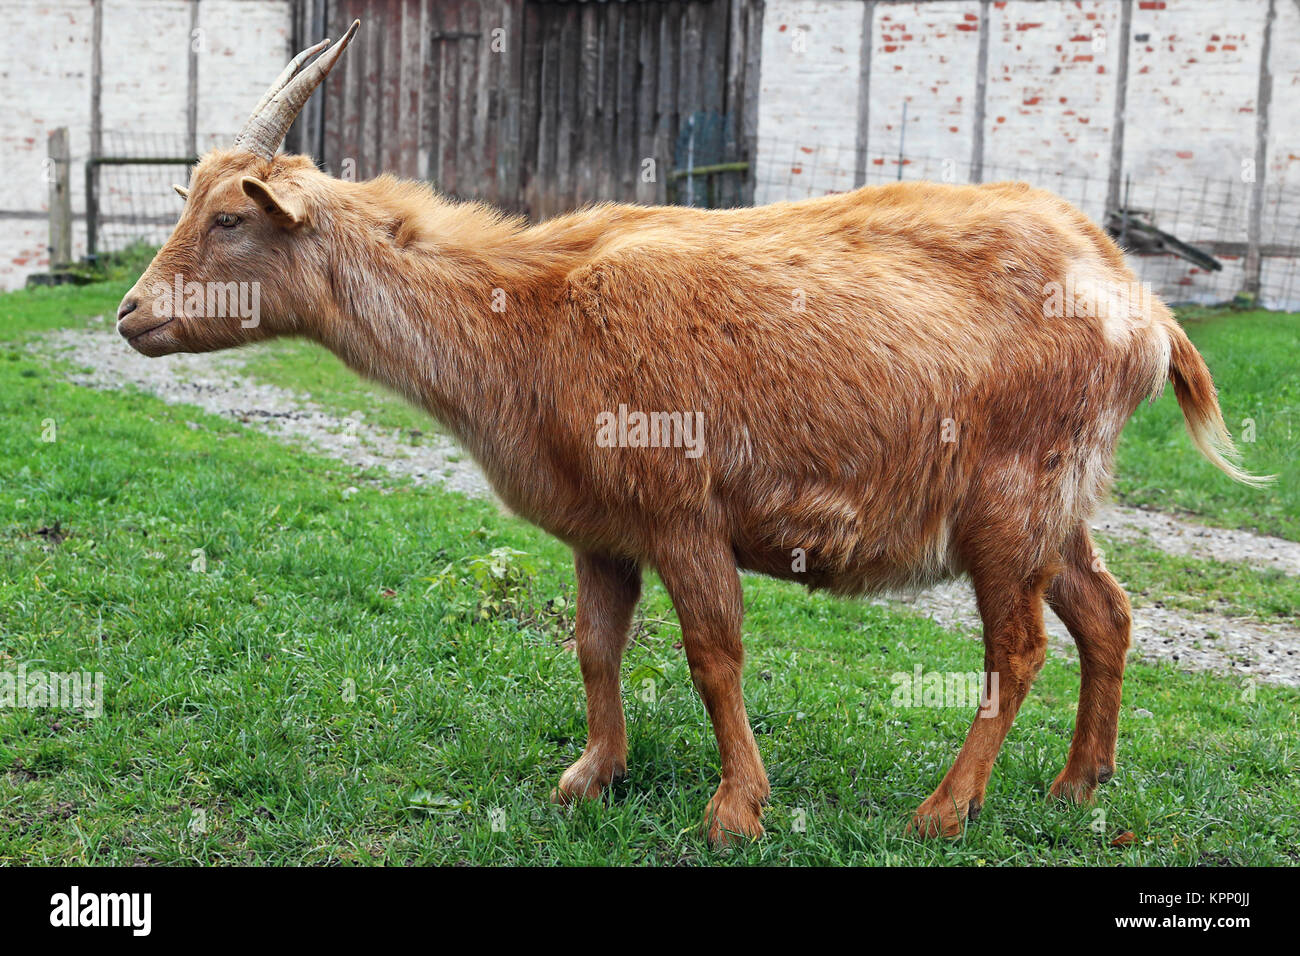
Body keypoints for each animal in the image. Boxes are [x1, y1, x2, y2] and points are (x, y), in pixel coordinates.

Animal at [117, 21, 1267, 845]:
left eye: (230, 216)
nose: (130, 315)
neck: (529, 313)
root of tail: (1139, 304)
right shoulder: (602, 530)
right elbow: (595, 644)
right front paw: (593, 775)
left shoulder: (683, 512)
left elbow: (714, 653)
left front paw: (733, 810)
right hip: (1058, 503)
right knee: (1106, 614)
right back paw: (1079, 784)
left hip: (1008, 497)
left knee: (1018, 645)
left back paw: (946, 808)